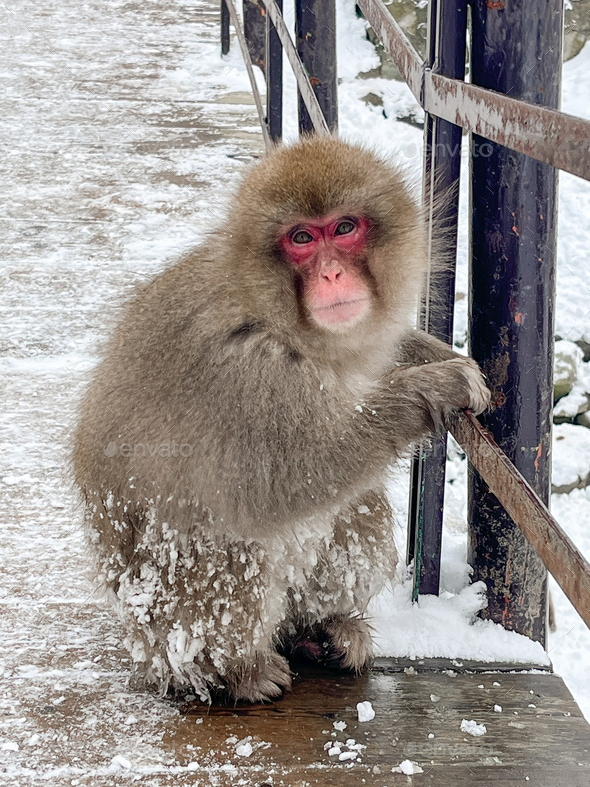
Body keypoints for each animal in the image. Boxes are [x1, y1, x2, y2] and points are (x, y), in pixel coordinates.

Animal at [72, 136, 490, 704]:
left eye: (344, 228)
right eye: (301, 238)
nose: (332, 274)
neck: (279, 318)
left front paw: (437, 356)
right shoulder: (241, 368)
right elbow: (278, 482)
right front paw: (436, 384)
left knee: (354, 509)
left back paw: (320, 630)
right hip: (159, 617)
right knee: (225, 534)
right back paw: (236, 670)